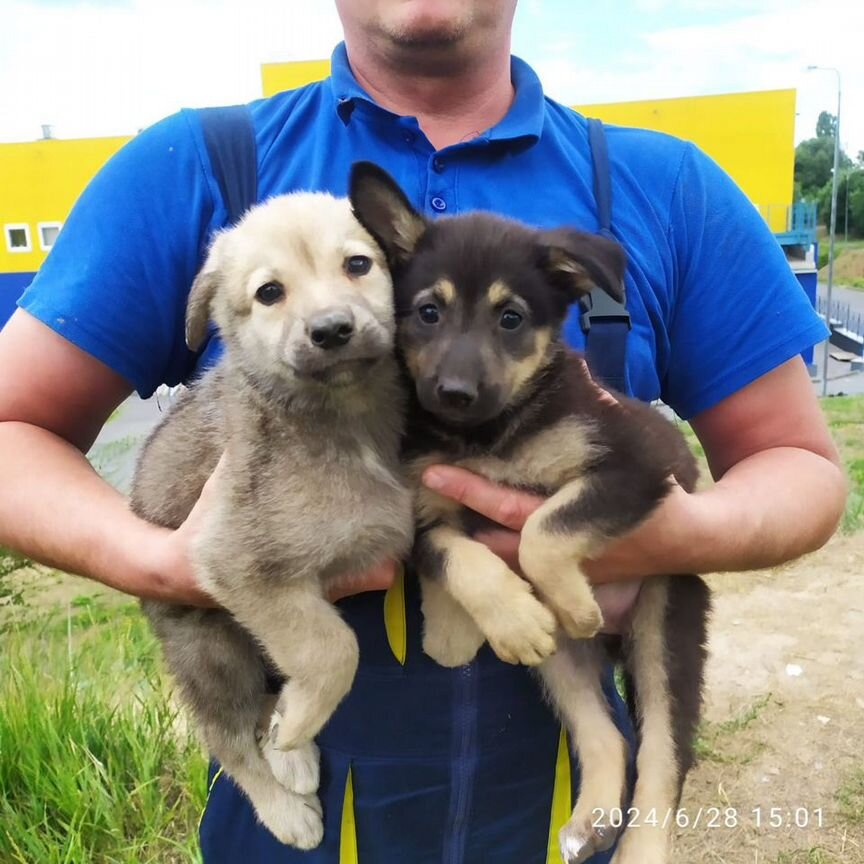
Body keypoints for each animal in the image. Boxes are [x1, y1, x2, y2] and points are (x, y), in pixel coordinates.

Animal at [348, 164, 712, 864]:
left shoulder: (640, 464)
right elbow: (461, 558)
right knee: (605, 734)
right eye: (428, 312)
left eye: (511, 318)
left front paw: (572, 600)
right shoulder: (420, 513)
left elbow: (543, 530)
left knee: (663, 754)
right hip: (560, 663)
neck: (485, 436)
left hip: (665, 623)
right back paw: (588, 820)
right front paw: (489, 622)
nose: (454, 393)